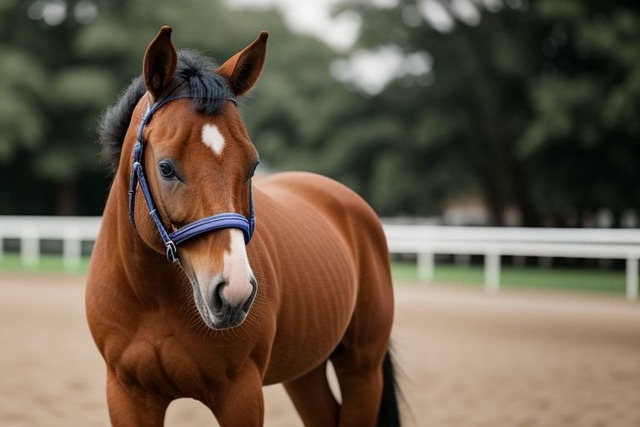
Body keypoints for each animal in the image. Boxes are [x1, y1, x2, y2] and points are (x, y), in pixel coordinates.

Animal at [85, 26, 400, 426]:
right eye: (166, 168)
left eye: (252, 166)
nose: (233, 291)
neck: (153, 300)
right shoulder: (127, 395)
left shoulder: (240, 394)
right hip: (306, 373)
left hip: (362, 369)